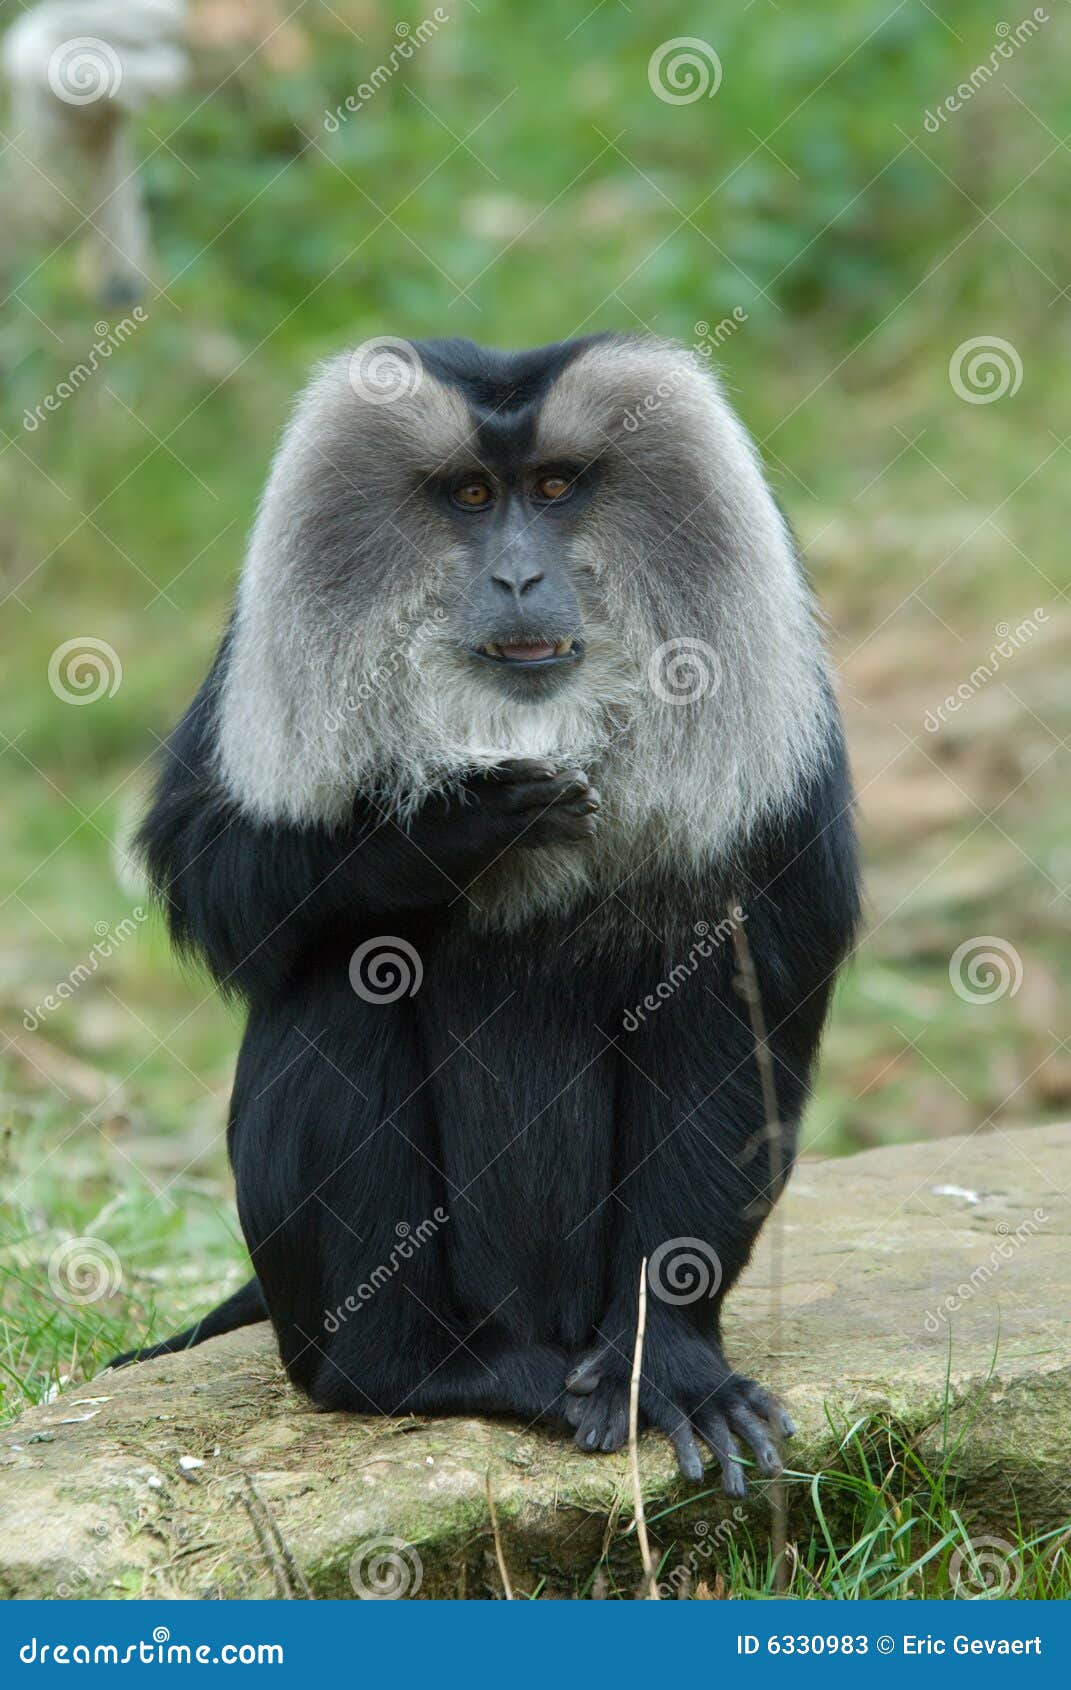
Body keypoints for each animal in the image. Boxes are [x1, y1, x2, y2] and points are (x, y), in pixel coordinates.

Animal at [111, 334, 860, 1493]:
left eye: (553, 489)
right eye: (470, 496)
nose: (515, 576)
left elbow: (746, 998)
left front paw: (671, 1364)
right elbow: (211, 870)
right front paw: (444, 829)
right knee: (340, 977)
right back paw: (420, 1371)